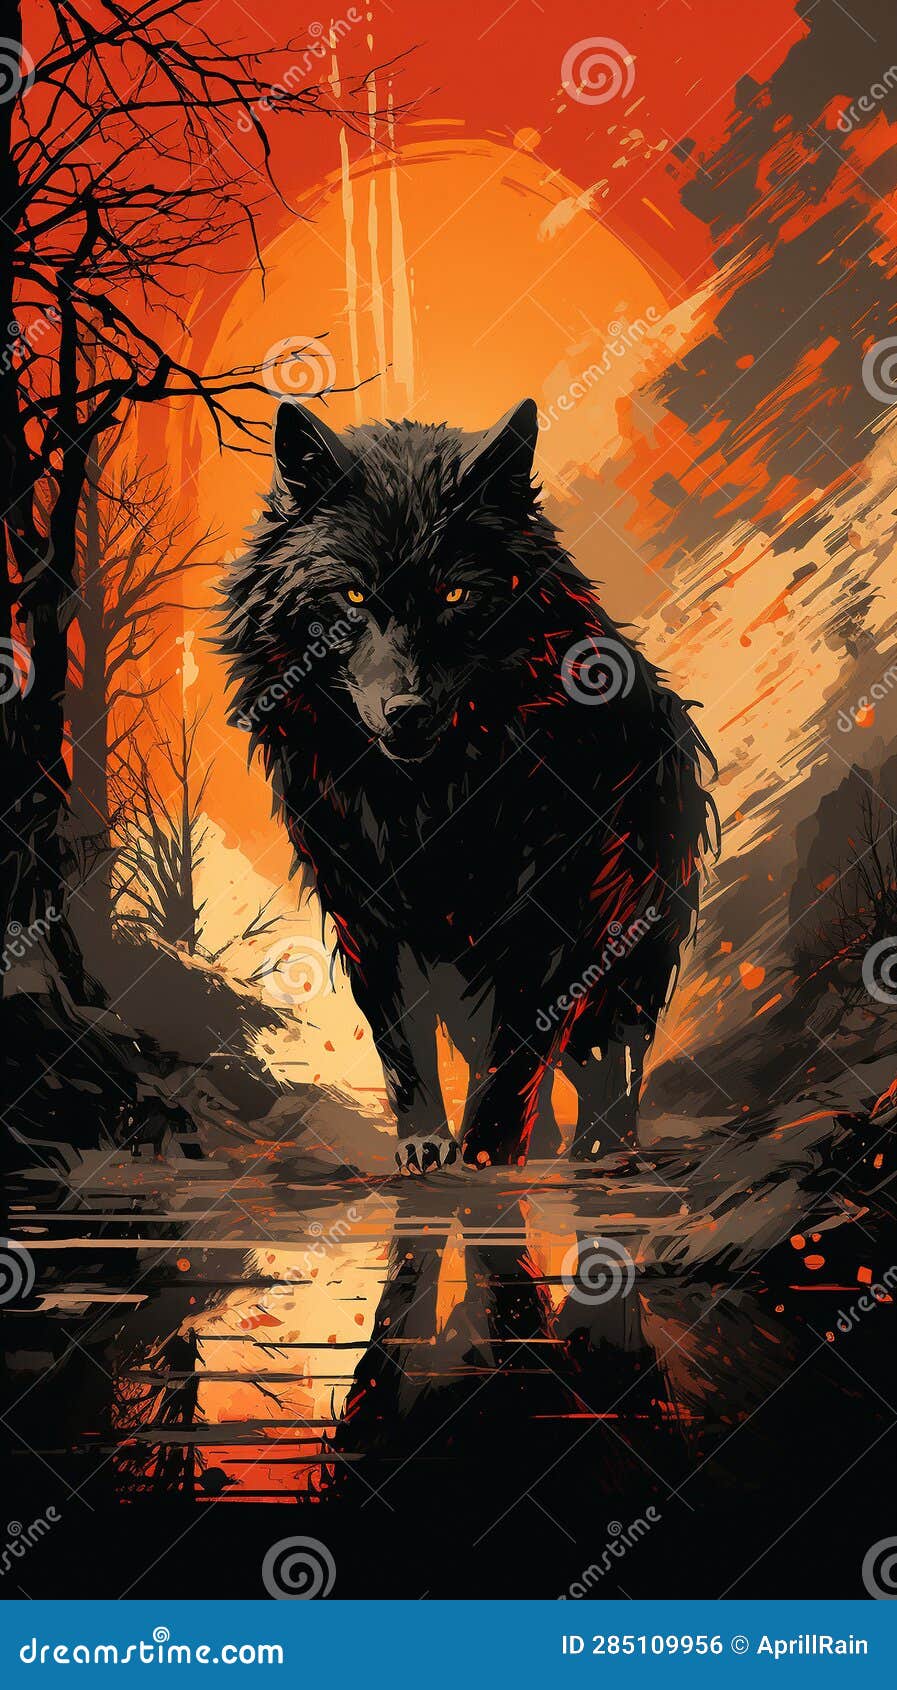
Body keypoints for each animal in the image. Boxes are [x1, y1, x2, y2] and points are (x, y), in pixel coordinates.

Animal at [218, 399, 716, 1172]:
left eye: (455, 594)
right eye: (352, 594)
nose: (407, 710)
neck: (431, 801)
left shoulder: (549, 909)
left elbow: (516, 1053)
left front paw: (485, 1157)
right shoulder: (366, 913)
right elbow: (403, 1047)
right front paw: (426, 1146)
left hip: (632, 935)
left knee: (611, 1050)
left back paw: (602, 1148)